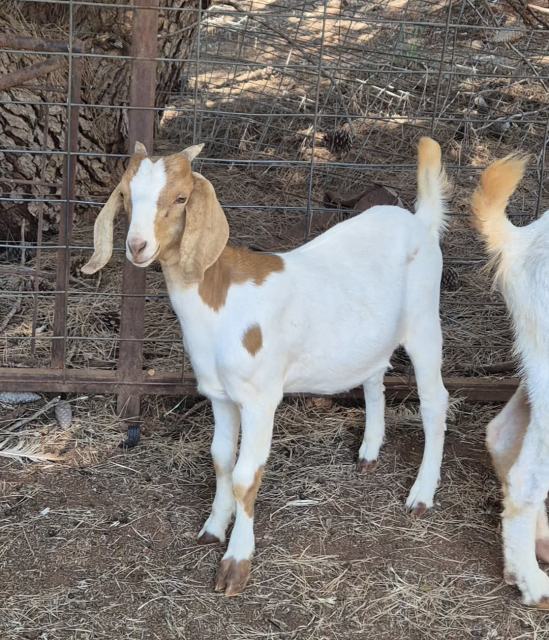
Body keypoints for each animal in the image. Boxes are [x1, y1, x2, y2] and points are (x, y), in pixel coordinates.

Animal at [82, 137, 449, 596]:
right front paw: (213, 528)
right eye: (127, 196)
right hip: (374, 334)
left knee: (435, 402)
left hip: (424, 323)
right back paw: (369, 451)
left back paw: (422, 495)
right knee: (373, 376)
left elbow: (245, 475)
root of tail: (420, 222)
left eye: (181, 198)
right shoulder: (219, 395)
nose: (137, 246)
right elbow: (221, 458)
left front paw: (236, 563)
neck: (218, 298)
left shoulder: (260, 399)